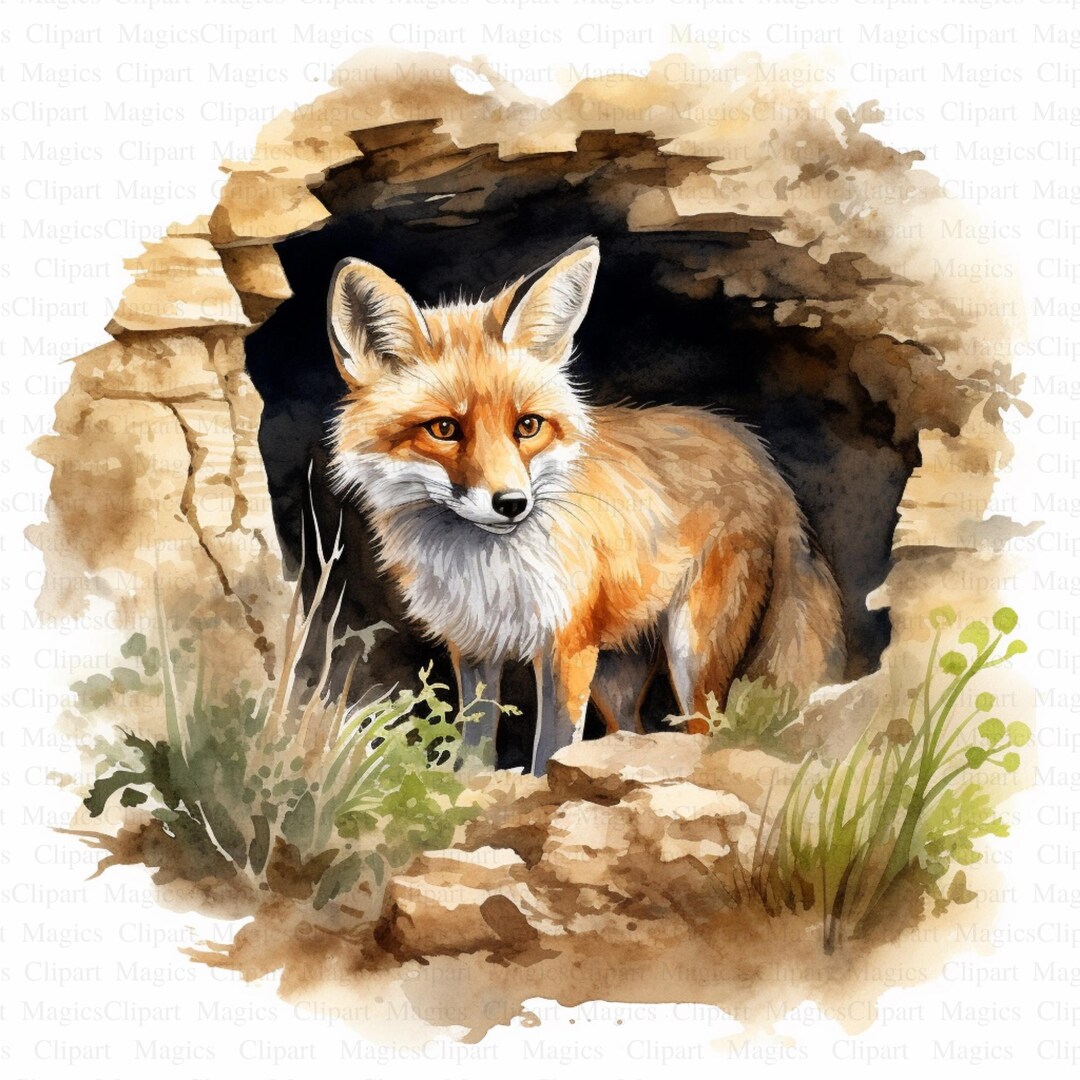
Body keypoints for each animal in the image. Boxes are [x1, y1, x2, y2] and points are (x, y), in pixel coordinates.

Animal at [325, 237, 846, 776]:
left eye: (528, 426)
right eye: (444, 429)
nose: (512, 503)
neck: (489, 568)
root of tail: (759, 455)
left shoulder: (566, 645)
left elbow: (551, 749)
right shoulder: (473, 643)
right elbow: (475, 743)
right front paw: (470, 785)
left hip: (690, 655)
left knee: (705, 732)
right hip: (615, 677)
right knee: (633, 732)